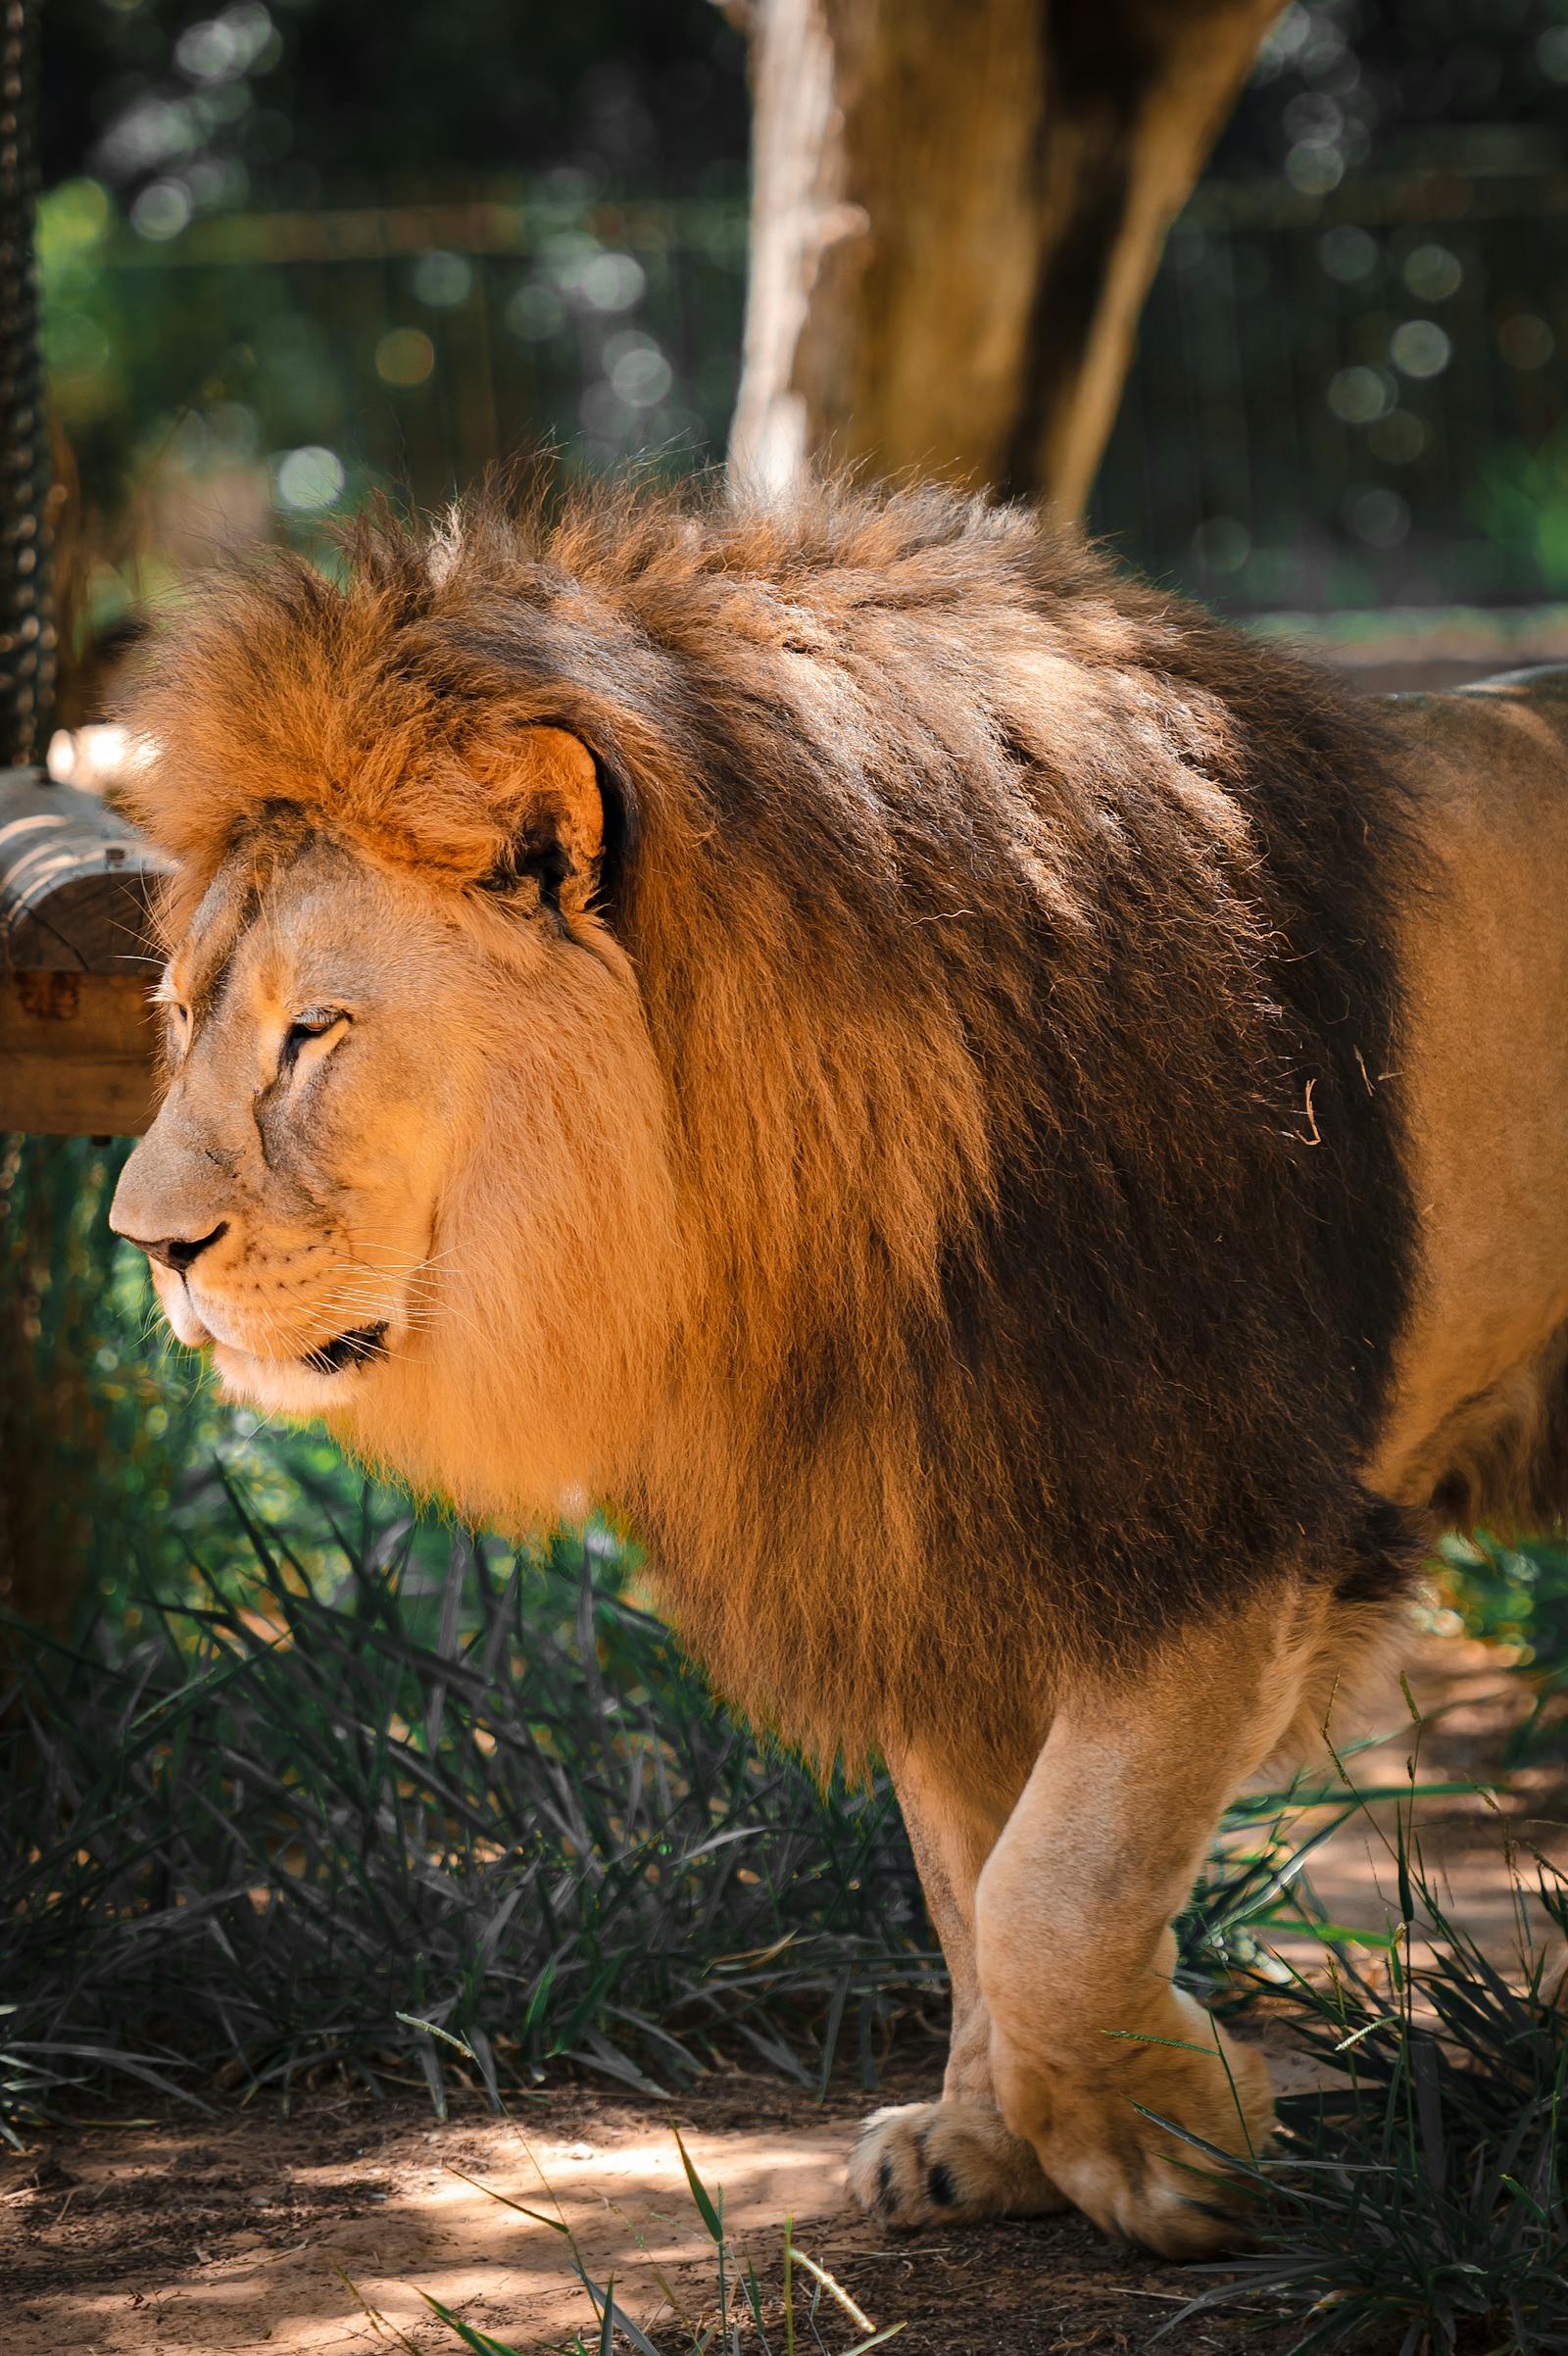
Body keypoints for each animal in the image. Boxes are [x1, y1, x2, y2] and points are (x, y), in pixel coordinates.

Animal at [107, 475, 1568, 2257]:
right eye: (185, 1015)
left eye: (313, 1033)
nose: (143, 1243)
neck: (806, 1231)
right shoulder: (914, 1522)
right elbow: (964, 1873)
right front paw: (990, 2144)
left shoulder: (1217, 1516)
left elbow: (1051, 1894)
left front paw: (1176, 2149)